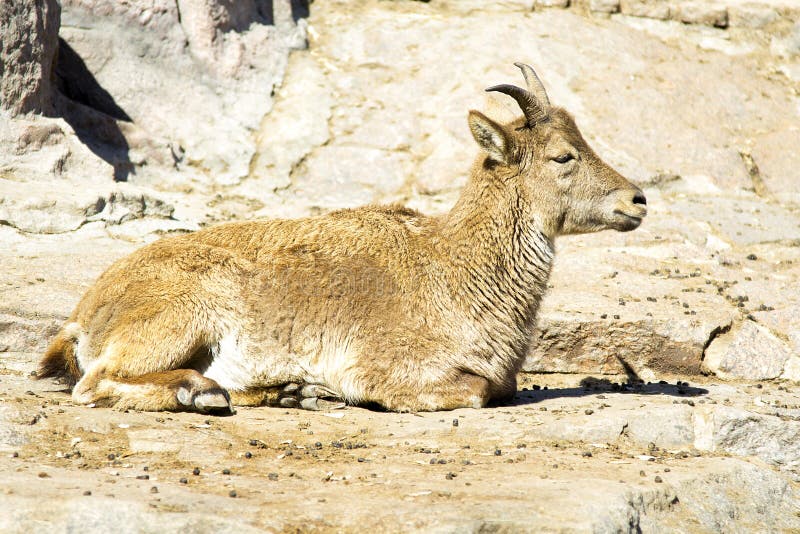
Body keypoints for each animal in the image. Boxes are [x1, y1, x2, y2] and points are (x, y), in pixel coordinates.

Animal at [38, 63, 647, 414]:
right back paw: (202, 392)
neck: (460, 269)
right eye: (563, 156)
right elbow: (476, 391)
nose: (637, 200)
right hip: (180, 315)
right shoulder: (393, 364)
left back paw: (285, 391)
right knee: (96, 383)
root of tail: (84, 315)